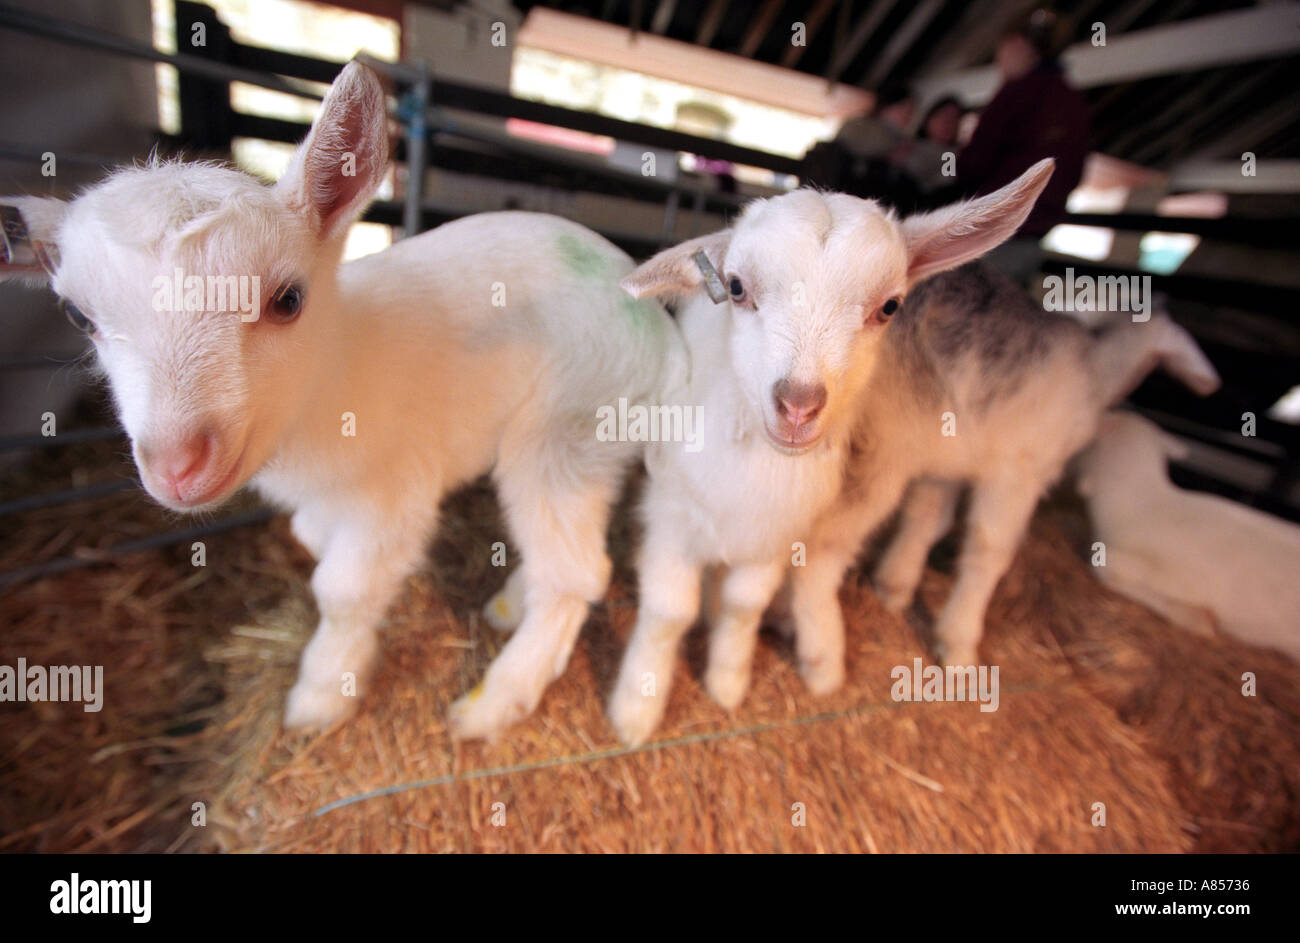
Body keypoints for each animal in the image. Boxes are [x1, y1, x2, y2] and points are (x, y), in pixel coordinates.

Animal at [0, 62, 682, 740]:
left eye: (287, 299)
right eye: (78, 315)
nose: (177, 464)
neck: (337, 375)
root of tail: (658, 324)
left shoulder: (395, 489)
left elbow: (342, 591)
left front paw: (321, 695)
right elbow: (310, 539)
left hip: (568, 426)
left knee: (575, 572)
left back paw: (496, 700)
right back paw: (510, 604)